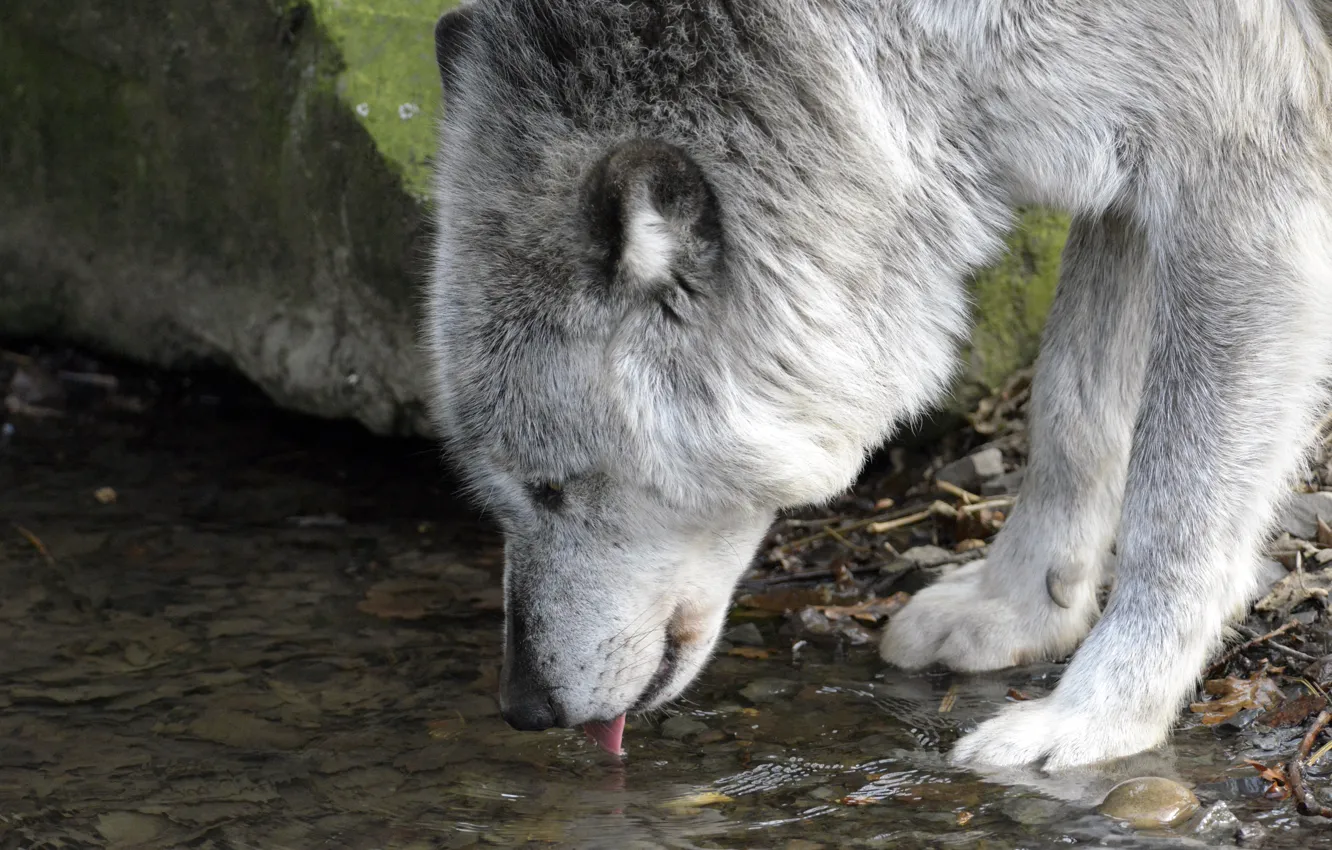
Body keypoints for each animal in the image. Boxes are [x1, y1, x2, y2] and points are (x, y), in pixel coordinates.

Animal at [425, 0, 1332, 768]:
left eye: (549, 489)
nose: (521, 709)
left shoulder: (1238, 176)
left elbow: (1174, 516)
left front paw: (1099, 716)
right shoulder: (1125, 177)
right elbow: (1069, 412)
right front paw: (1021, 609)